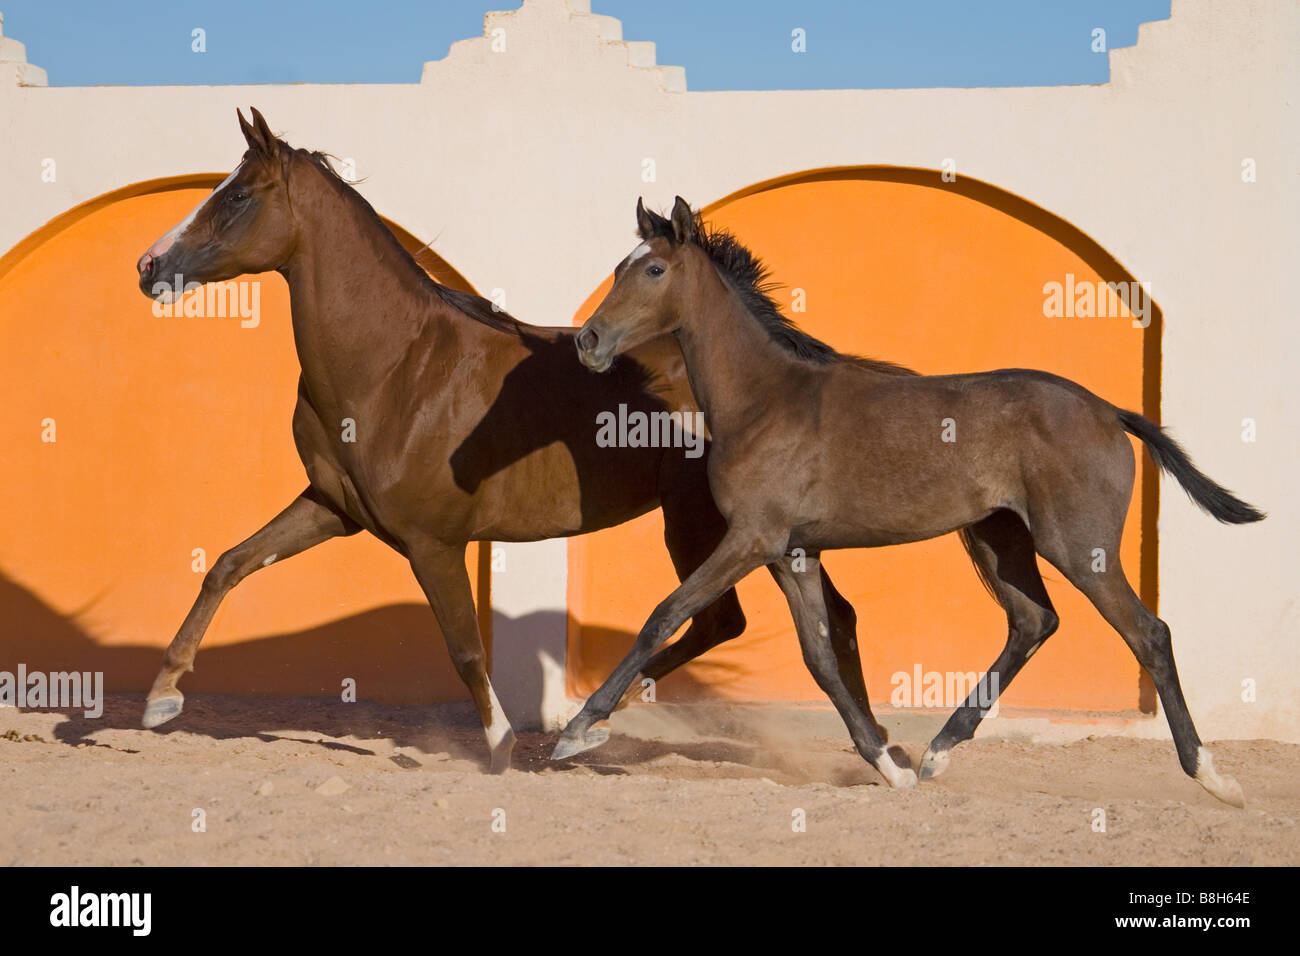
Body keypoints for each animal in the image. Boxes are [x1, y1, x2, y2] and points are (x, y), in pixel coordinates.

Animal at [132, 108, 892, 773]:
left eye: (237, 197)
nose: (148, 266)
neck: (394, 367)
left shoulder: (433, 542)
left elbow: (465, 648)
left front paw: (498, 746)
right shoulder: (333, 508)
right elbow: (228, 564)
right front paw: (162, 698)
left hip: (705, 523)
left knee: (726, 622)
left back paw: (592, 724)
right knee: (822, 618)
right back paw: (879, 750)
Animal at [564, 196, 1264, 806]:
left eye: (653, 269)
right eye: (622, 266)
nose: (588, 341)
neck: (764, 400)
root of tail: (1109, 411)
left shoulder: (752, 539)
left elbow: (664, 615)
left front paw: (578, 730)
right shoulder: (792, 552)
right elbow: (822, 657)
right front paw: (888, 765)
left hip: (1078, 544)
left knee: (1148, 634)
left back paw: (1213, 777)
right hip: (998, 538)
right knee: (1034, 621)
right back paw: (937, 751)